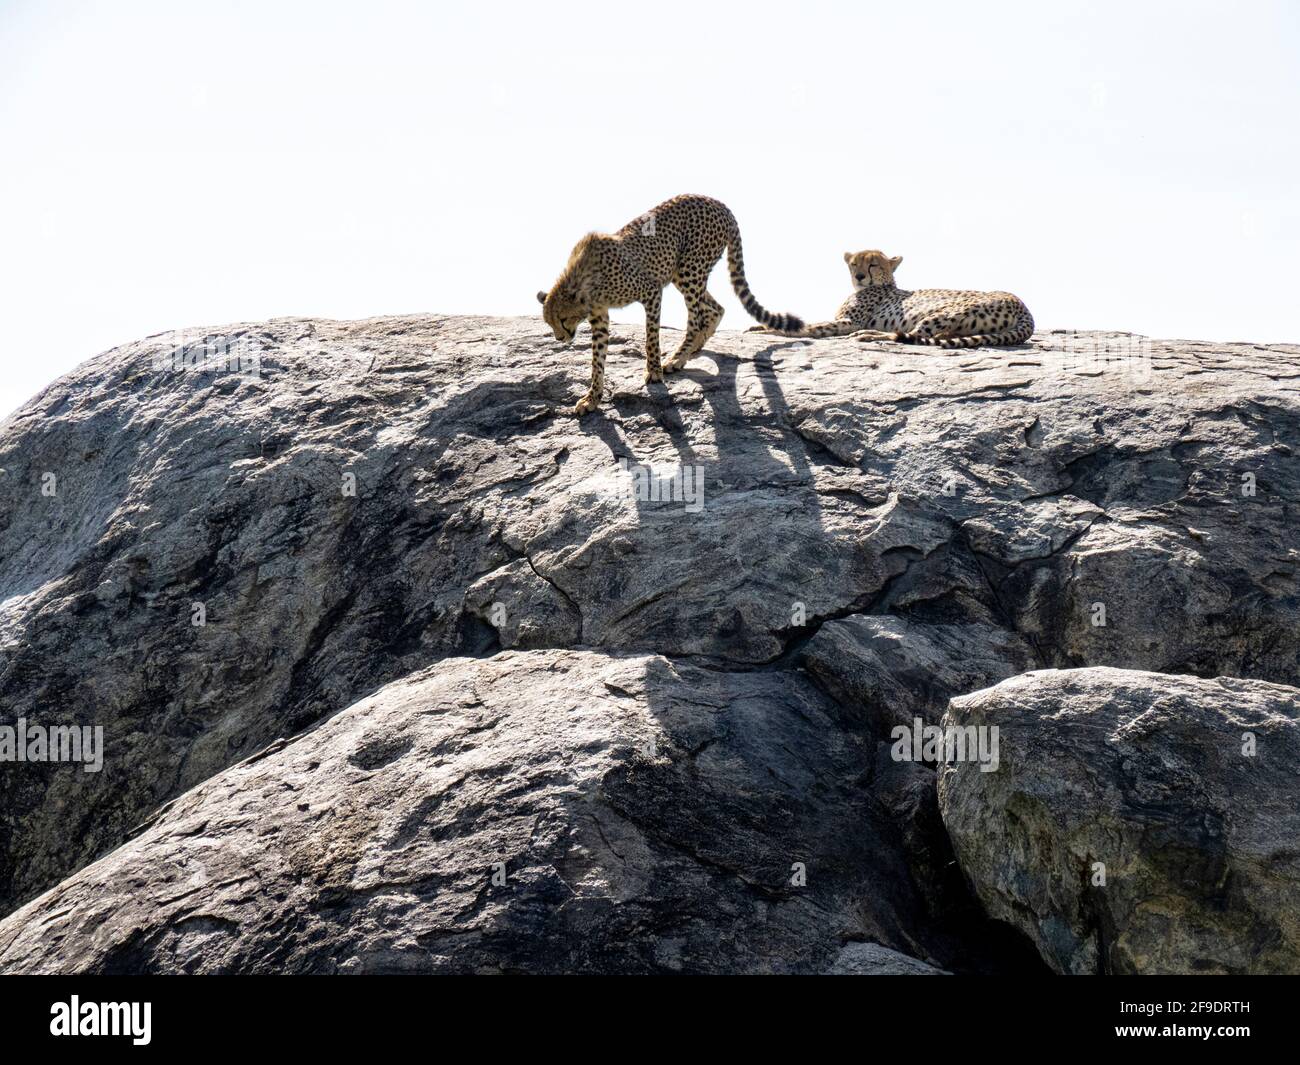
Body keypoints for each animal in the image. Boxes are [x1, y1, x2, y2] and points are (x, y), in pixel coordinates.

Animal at [537, 194, 803, 414]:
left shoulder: (651, 291)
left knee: (696, 318)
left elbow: (651, 337)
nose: (560, 338)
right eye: (549, 323)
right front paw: (592, 398)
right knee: (716, 309)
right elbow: (597, 358)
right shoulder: (600, 316)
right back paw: (692, 349)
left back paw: (677, 358)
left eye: (562, 319)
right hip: (682, 273)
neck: (584, 282)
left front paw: (654, 371)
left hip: (690, 269)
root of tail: (719, 203)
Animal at [750, 249, 1034, 349]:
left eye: (873, 264)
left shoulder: (849, 322)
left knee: (914, 336)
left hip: (946, 312)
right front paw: (759, 326)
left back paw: (869, 335)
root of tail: (1023, 306)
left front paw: (767, 329)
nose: (860, 276)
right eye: (854, 263)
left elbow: (813, 326)